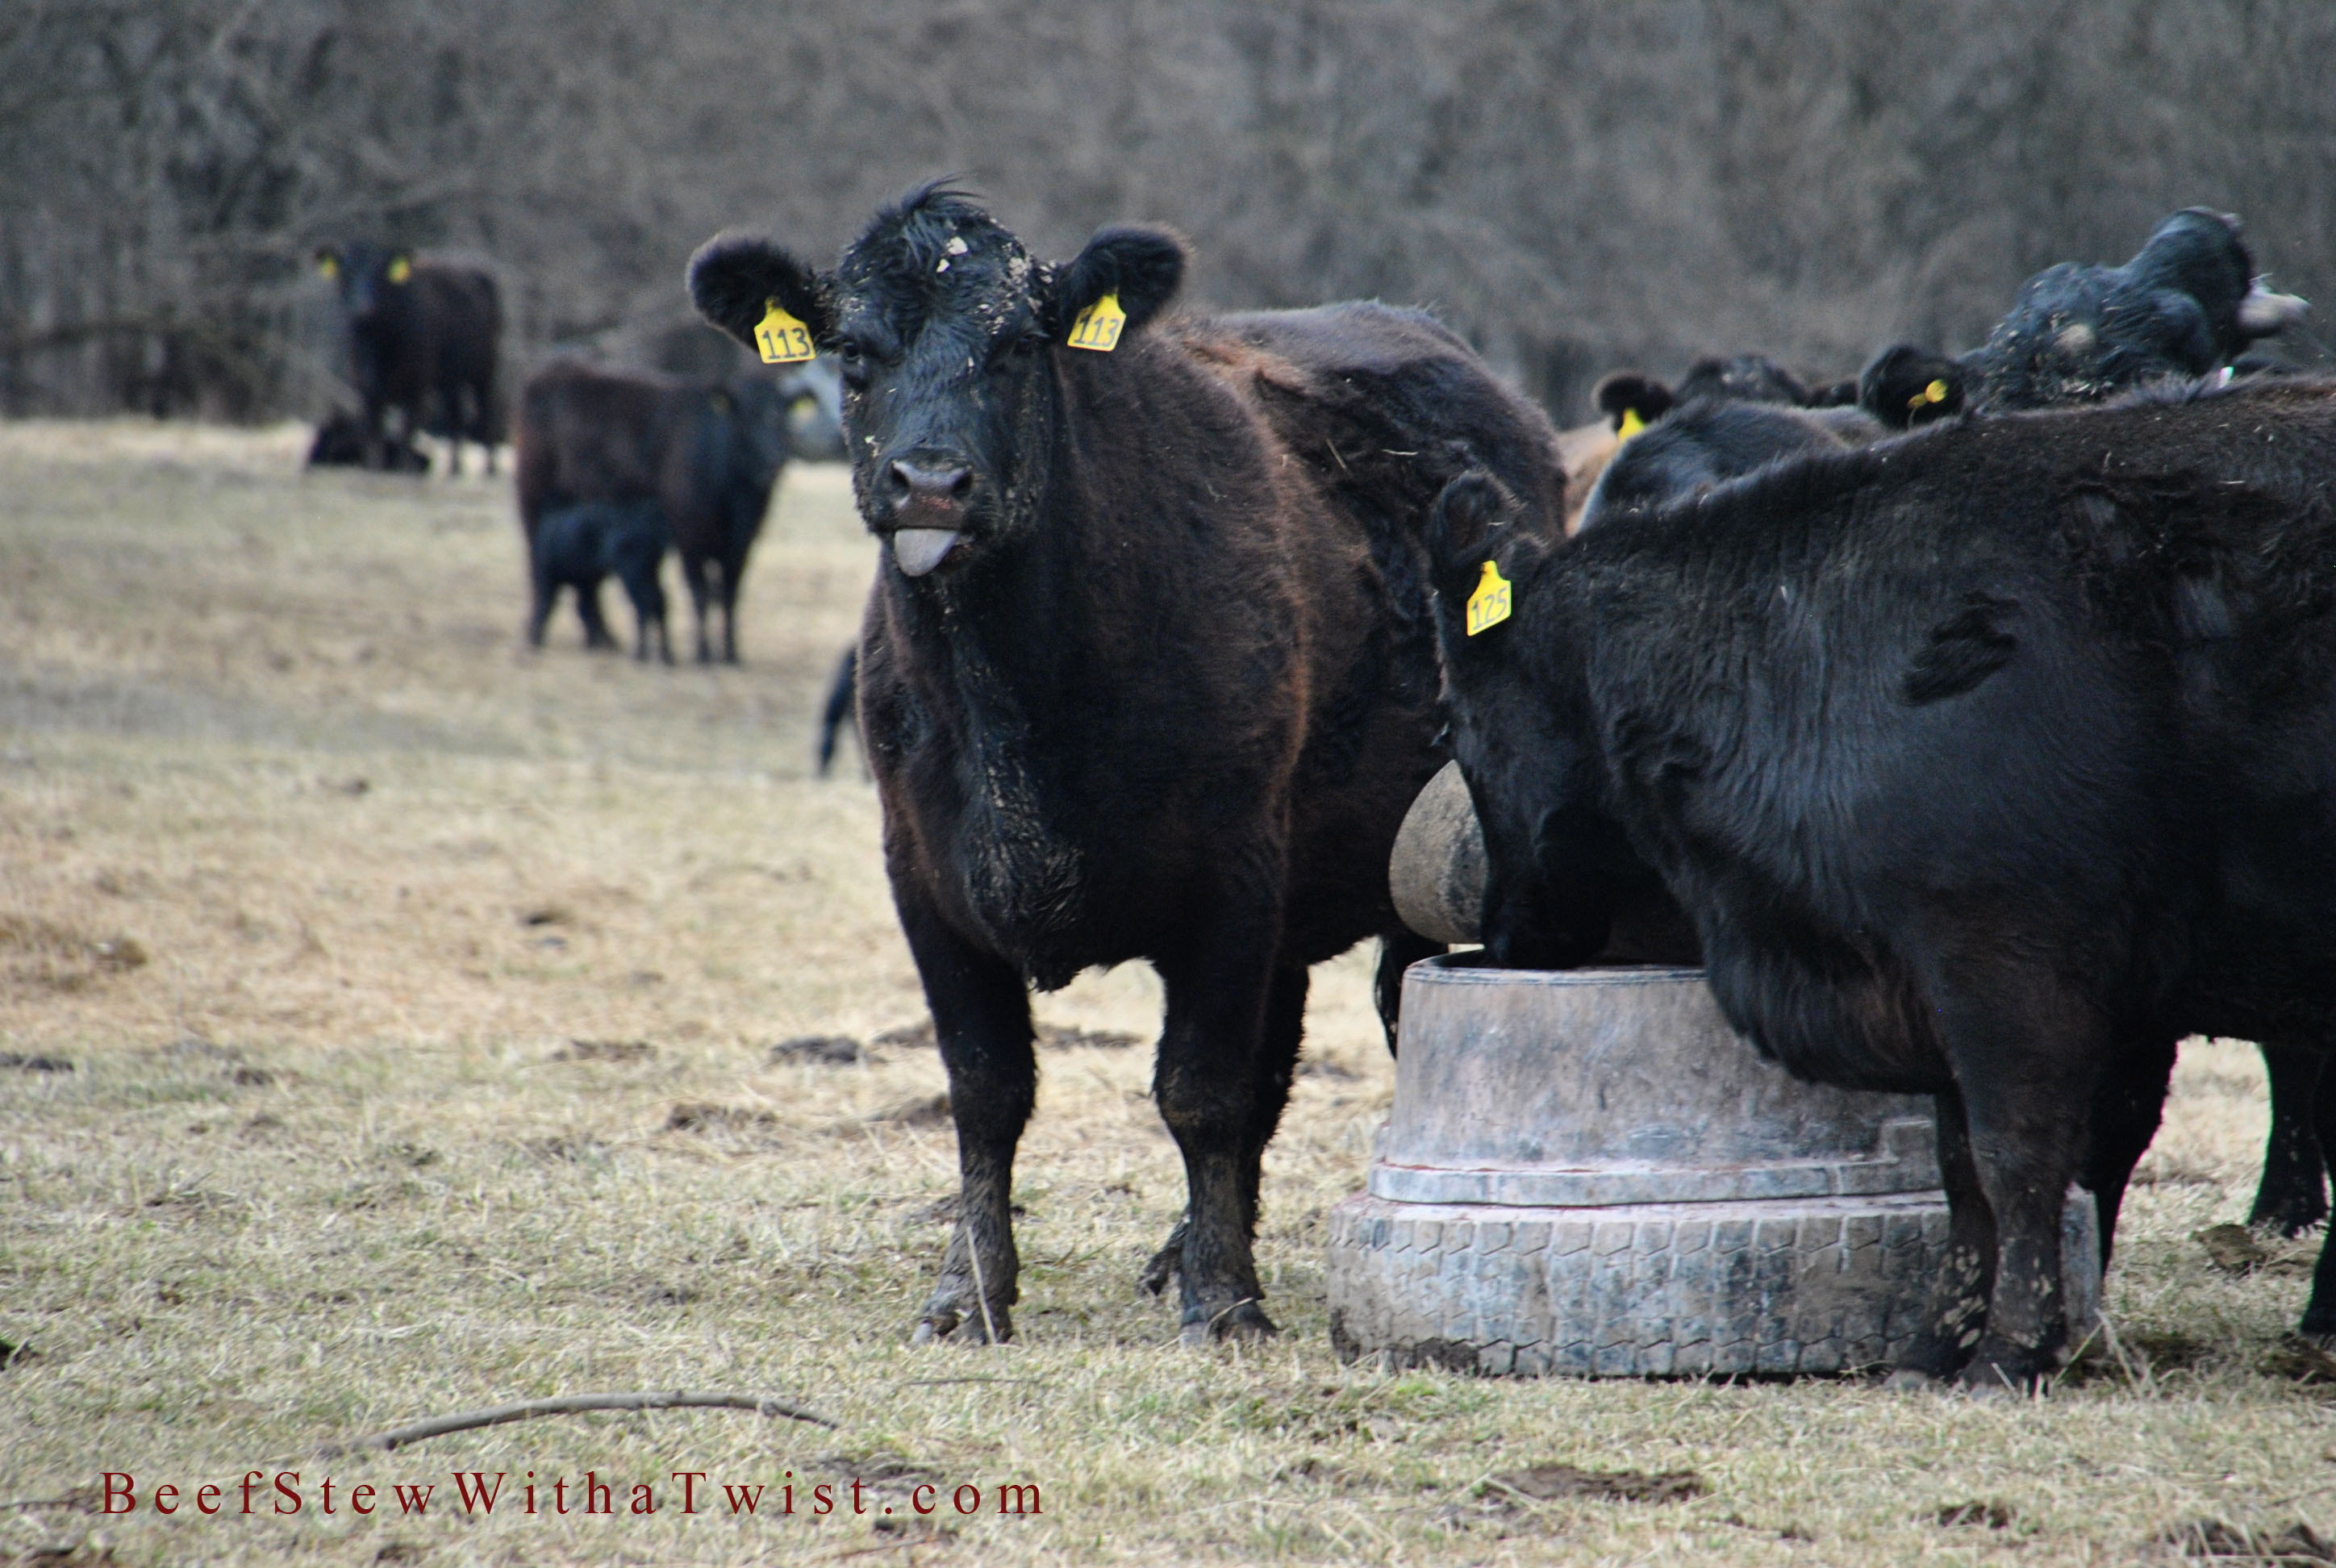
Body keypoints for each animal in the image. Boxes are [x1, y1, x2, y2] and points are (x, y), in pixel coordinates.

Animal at [315, 243, 502, 475]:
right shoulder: (366, 390)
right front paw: (375, 468)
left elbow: (407, 432)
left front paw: (405, 469)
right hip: (449, 381)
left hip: (484, 372)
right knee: (455, 417)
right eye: (346, 272)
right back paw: (453, 468)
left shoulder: (416, 389)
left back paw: (489, 468)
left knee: (487, 413)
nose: (364, 308)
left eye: (380, 274)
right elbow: (372, 437)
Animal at [531, 499, 673, 662]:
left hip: (633, 575)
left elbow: (549, 605)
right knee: (658, 602)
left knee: (645, 603)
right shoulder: (586, 581)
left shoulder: (557, 579)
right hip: (647, 574)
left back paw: (641, 654)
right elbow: (586, 608)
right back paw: (667, 657)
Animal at [686, 181, 1562, 1346]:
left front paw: (1225, 1302)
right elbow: (987, 1091)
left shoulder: (1233, 883)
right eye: (856, 354)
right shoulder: (923, 878)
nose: (929, 483)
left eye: (1018, 346)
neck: (1010, 704)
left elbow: (1201, 1090)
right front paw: (969, 1294)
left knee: (1327, 1042)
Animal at [1421, 377, 2336, 1389]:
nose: (1505, 934)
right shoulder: (1931, 981)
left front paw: (2009, 1350)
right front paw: (1938, 1342)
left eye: (1452, 719)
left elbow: (2015, 1155)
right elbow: (1959, 1172)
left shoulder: (2004, 957)